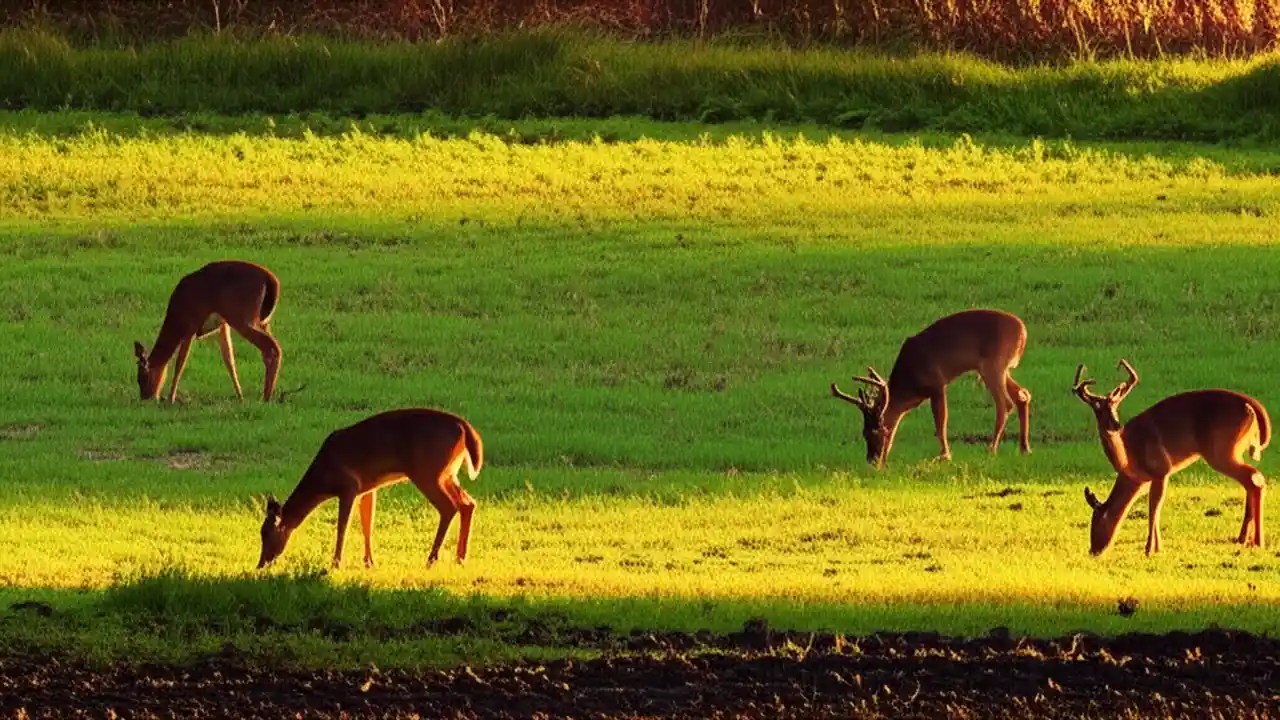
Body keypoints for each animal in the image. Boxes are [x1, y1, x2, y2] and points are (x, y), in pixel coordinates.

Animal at [133, 260, 281, 403]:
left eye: (142, 378)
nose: (146, 398)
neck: (176, 319)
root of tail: (272, 280)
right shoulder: (223, 325)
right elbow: (229, 360)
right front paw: (240, 397)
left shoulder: (190, 325)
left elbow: (180, 364)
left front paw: (171, 399)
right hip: (262, 321)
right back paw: (267, 394)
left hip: (243, 317)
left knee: (273, 347)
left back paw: (266, 397)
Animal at [257, 408, 483, 570]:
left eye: (267, 534)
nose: (261, 564)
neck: (323, 477)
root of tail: (465, 428)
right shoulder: (366, 488)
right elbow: (368, 523)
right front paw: (369, 562)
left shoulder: (348, 486)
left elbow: (343, 526)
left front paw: (336, 563)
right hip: (448, 472)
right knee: (468, 503)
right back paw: (460, 558)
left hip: (427, 471)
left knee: (449, 506)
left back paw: (432, 559)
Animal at [829, 309, 1032, 467]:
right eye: (863, 433)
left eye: (874, 432)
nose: (872, 461)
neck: (909, 387)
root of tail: (1023, 332)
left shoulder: (937, 384)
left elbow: (940, 424)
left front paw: (945, 457)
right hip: (998, 369)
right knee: (1023, 395)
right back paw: (1024, 448)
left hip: (993, 364)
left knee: (1005, 403)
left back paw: (991, 449)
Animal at [1073, 359, 1269, 556]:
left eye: (1096, 520)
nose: (1094, 550)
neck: (1130, 463)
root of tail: (1252, 406)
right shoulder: (1148, 480)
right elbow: (1155, 508)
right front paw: (1157, 547)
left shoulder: (1161, 469)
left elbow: (1154, 508)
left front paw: (1149, 549)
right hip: (1233, 451)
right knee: (1253, 479)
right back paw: (1245, 539)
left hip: (1221, 451)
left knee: (1254, 479)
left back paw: (1258, 541)